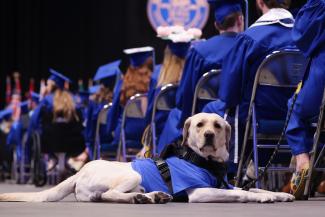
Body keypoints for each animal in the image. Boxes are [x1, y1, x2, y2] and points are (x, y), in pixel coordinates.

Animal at [0, 113, 294, 203]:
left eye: (218, 126)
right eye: (200, 125)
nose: (209, 135)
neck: (202, 160)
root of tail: (79, 171)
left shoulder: (226, 182)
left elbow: (253, 186)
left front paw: (280, 194)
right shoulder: (200, 191)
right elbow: (241, 193)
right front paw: (262, 198)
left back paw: (152, 196)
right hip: (132, 172)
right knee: (109, 195)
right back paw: (142, 198)